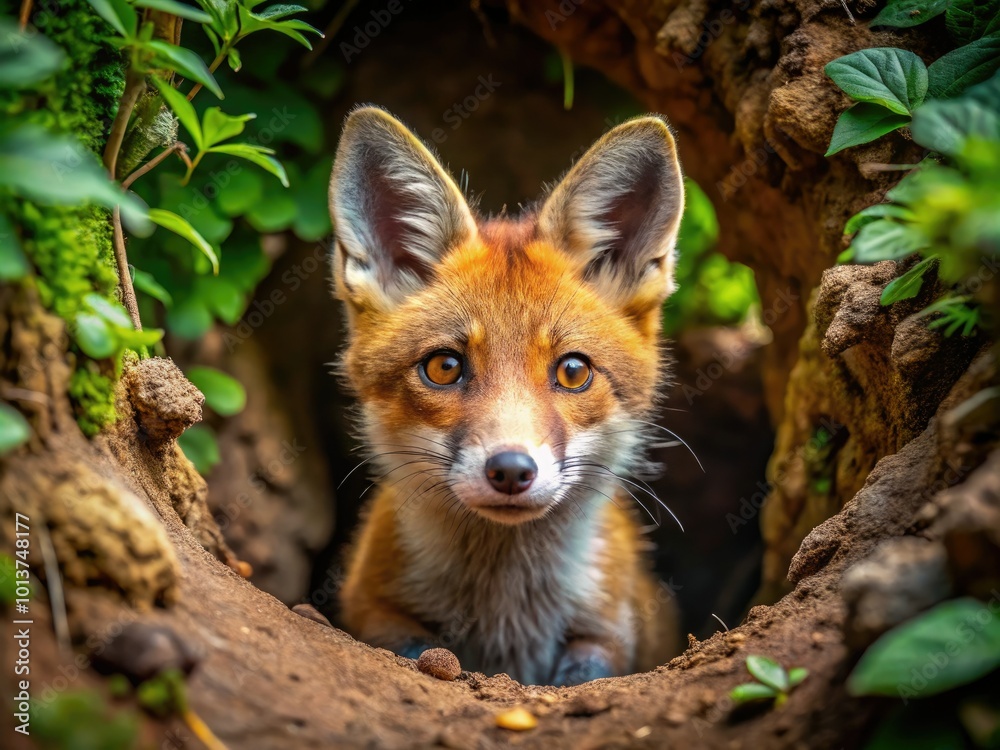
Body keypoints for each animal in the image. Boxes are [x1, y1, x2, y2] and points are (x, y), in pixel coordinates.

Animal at [328, 106, 685, 687]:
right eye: (444, 367)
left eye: (572, 372)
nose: (512, 470)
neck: (504, 619)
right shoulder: (370, 605)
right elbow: (406, 642)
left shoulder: (614, 628)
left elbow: (593, 663)